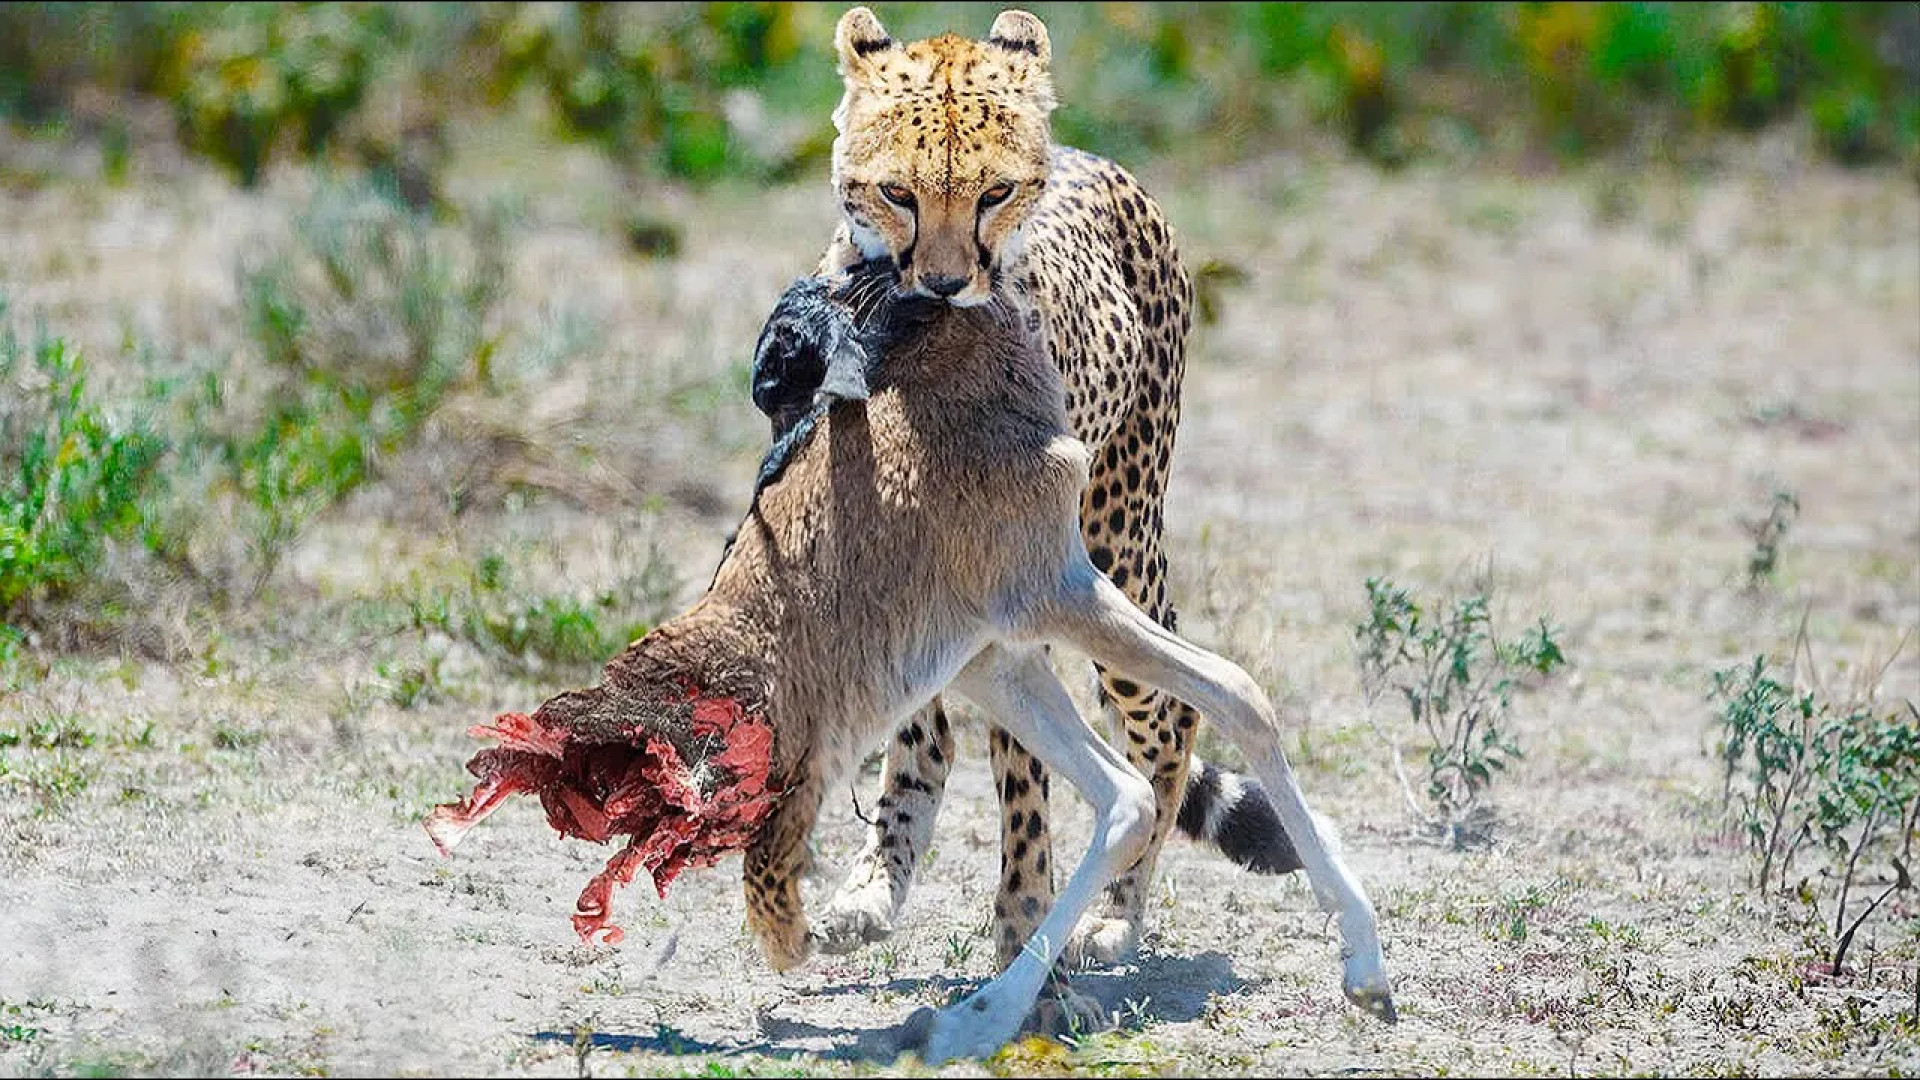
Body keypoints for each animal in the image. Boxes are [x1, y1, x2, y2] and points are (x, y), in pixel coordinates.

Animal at [796, 6, 1312, 987]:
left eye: (994, 193)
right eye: (897, 192)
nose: (944, 281)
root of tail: (1102, 162)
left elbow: (1026, 782)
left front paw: (1022, 926)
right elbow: (929, 731)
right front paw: (875, 883)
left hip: (1119, 527)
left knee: (1170, 721)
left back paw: (1115, 917)